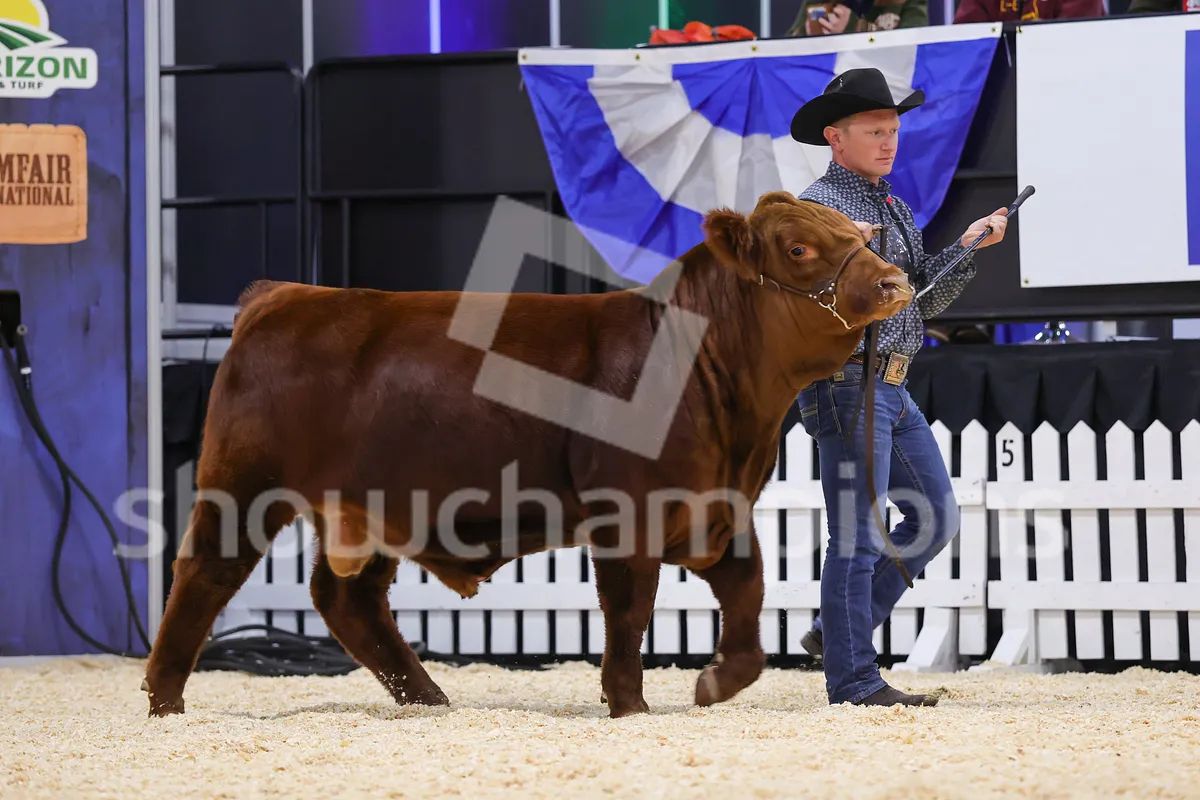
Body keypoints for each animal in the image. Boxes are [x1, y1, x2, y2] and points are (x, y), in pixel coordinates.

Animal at [142, 191, 912, 719]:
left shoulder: (714, 510)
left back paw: (428, 700)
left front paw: (715, 683)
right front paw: (629, 706)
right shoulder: (629, 518)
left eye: (854, 232)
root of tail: (283, 295)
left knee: (348, 599)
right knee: (204, 576)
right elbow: (628, 612)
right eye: (798, 248)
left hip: (373, 506)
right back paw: (164, 703)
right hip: (243, 487)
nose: (894, 282)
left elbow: (748, 598)